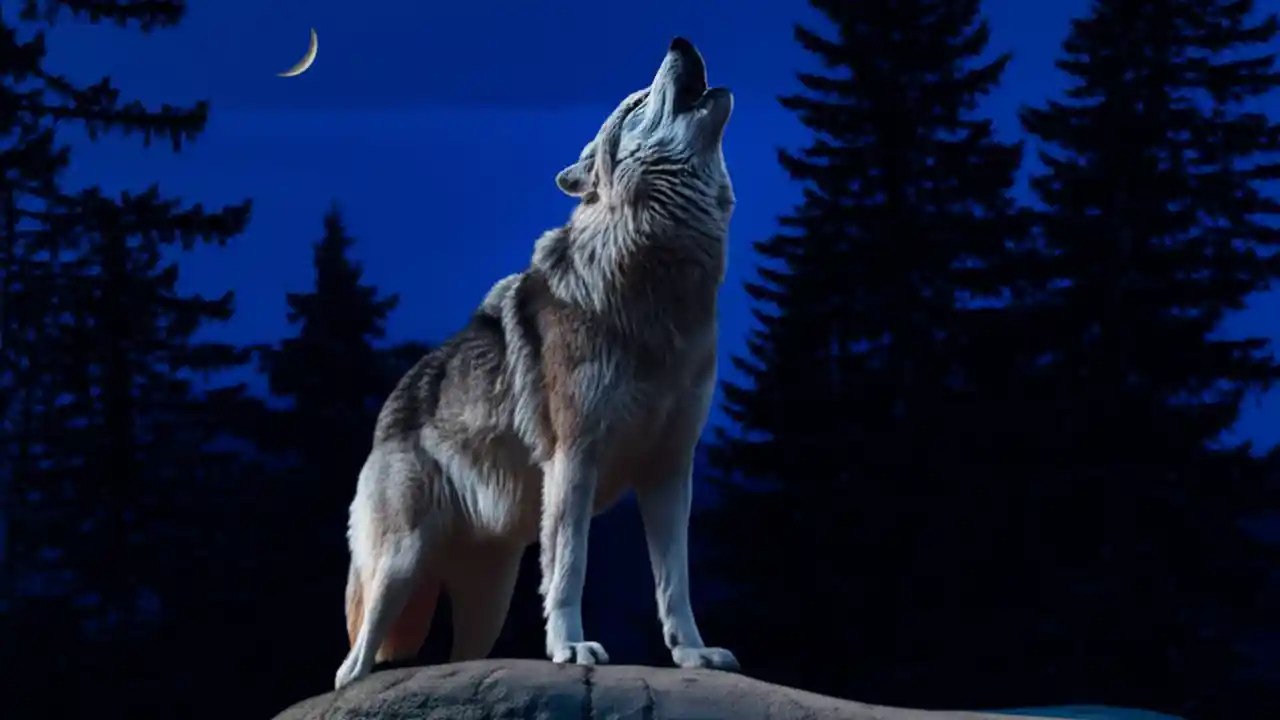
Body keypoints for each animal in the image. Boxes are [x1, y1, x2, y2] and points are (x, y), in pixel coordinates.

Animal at [334, 36, 739, 690]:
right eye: (636, 103)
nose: (680, 41)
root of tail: (393, 405)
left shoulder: (671, 470)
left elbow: (674, 582)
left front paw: (693, 654)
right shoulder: (574, 457)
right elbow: (570, 565)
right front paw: (571, 647)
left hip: (489, 599)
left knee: (463, 657)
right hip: (398, 567)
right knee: (353, 658)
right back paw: (357, 680)